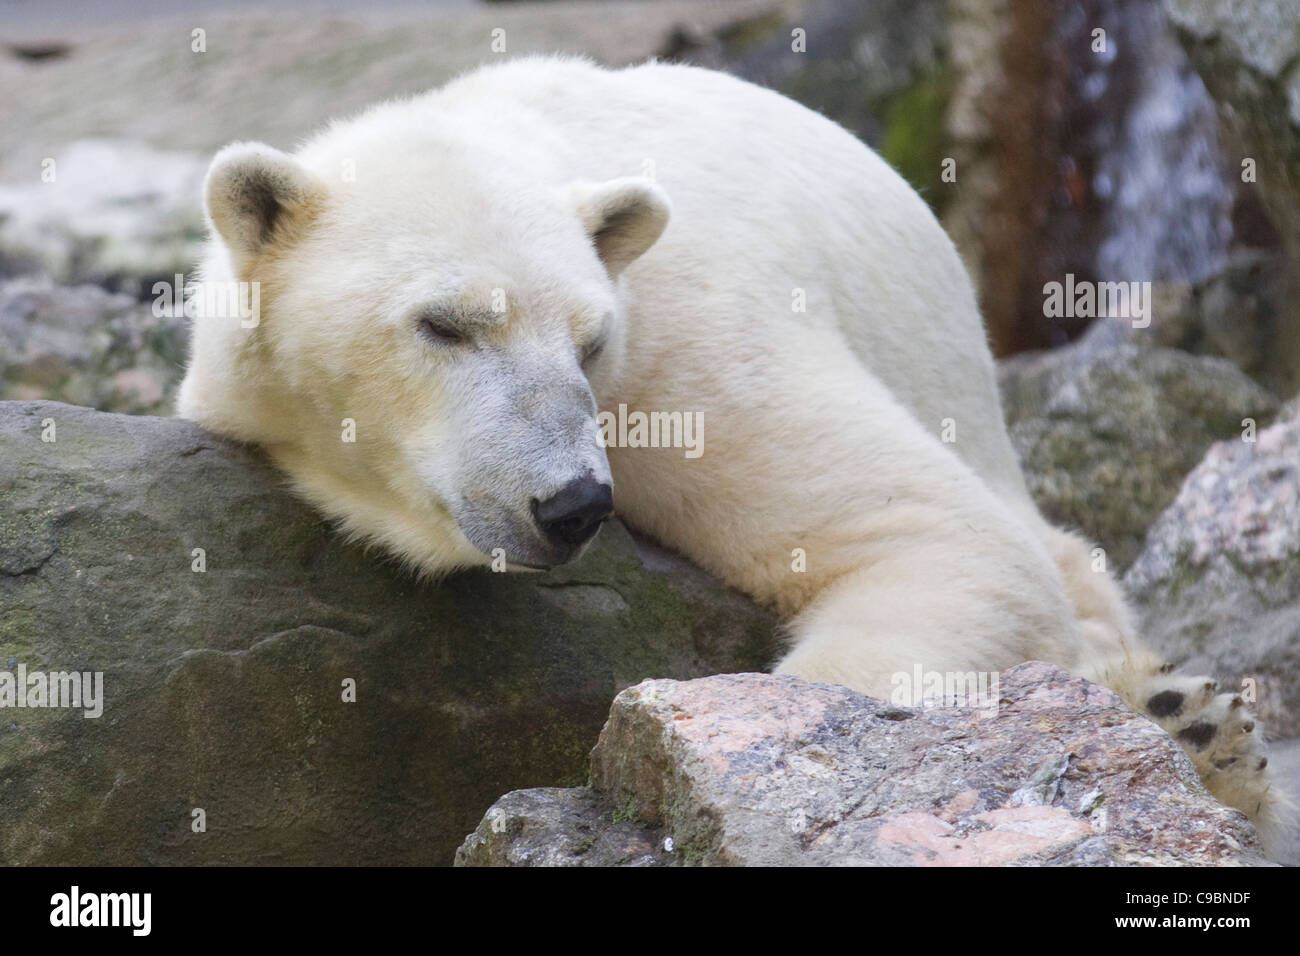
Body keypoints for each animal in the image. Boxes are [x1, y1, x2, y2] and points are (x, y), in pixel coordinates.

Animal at [177, 55, 1285, 848]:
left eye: (590, 339)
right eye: (444, 323)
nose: (571, 503)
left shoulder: (682, 345)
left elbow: (936, 536)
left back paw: (1191, 725)